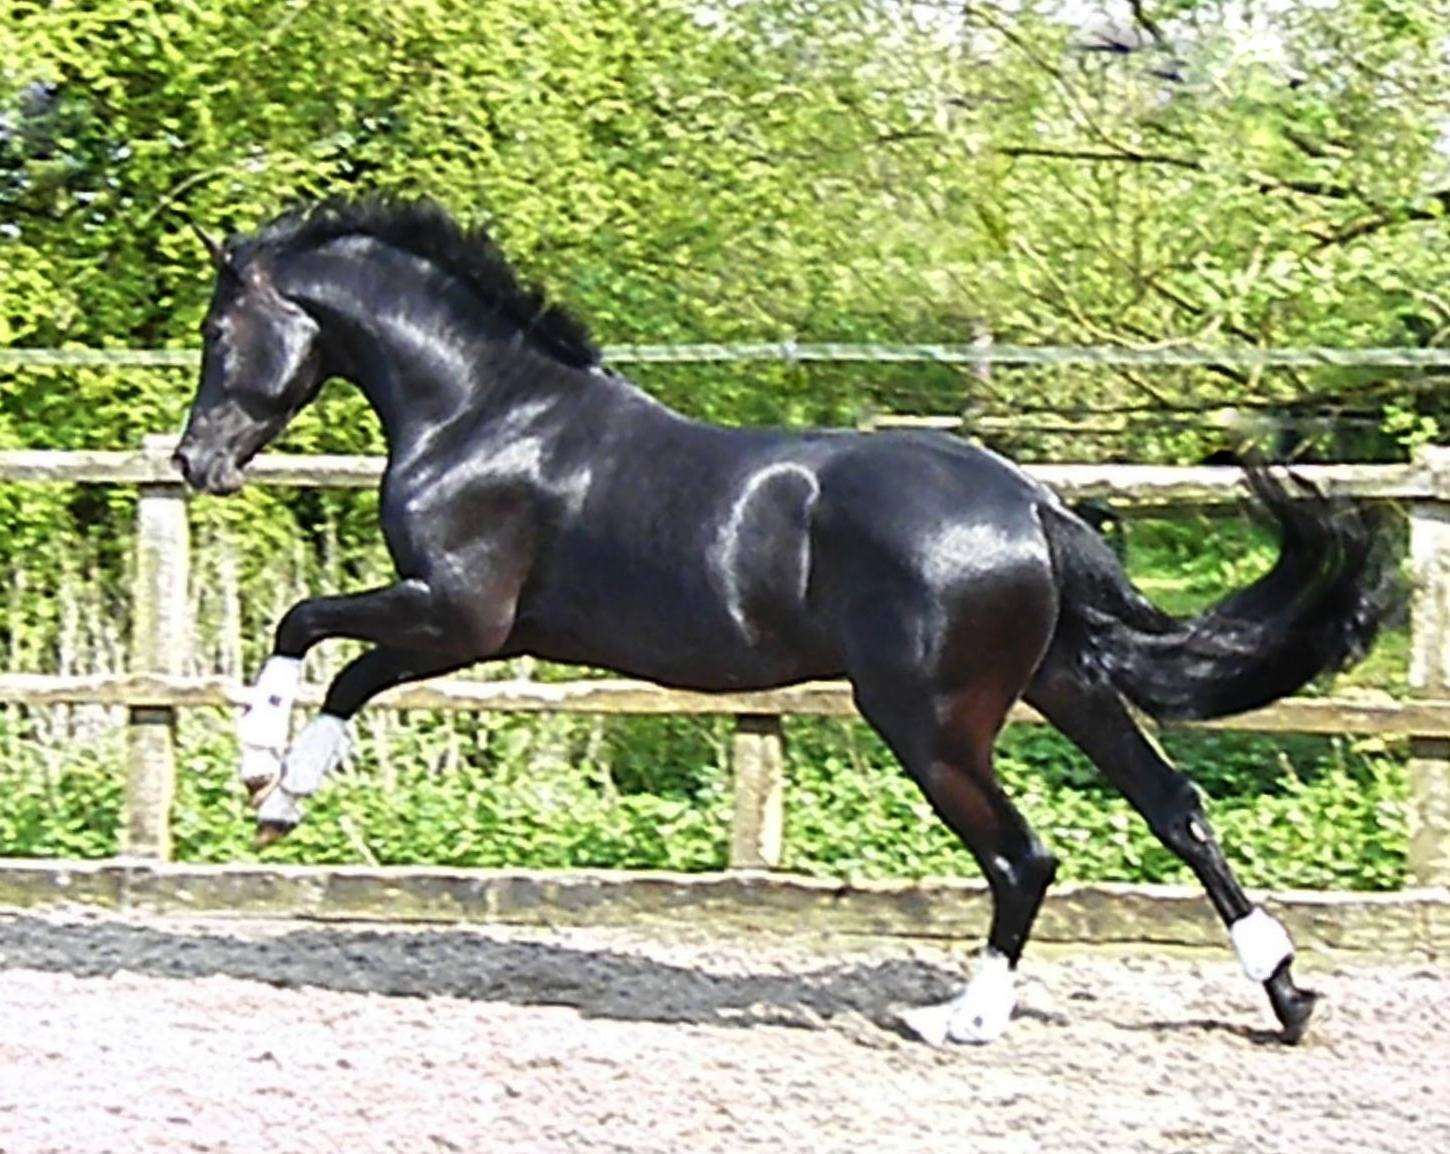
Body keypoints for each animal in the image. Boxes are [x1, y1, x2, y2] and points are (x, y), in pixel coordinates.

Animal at [172, 198, 1394, 1045]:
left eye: (221, 328)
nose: (193, 461)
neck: (487, 415)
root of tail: (1028, 504)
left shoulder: (459, 617)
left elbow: (309, 633)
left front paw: (262, 778)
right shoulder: (471, 634)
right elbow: (347, 668)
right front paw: (278, 799)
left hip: (930, 724)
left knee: (1025, 854)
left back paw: (963, 1018)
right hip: (1065, 685)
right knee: (1176, 809)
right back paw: (1286, 994)